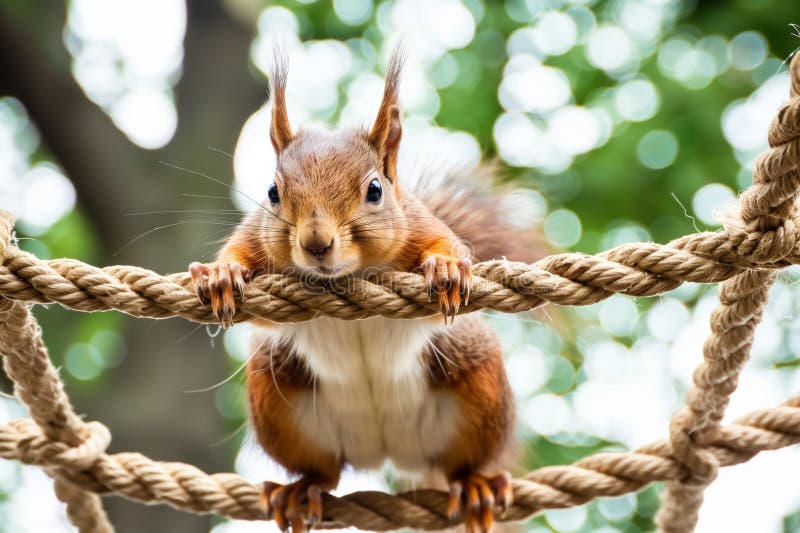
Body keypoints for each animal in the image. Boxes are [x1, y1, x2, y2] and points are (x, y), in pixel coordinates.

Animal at [188, 47, 542, 533]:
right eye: (273, 192)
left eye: (375, 190)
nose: (316, 243)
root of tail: (384, 451)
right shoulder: (256, 237)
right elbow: (243, 266)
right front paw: (221, 275)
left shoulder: (420, 223)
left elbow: (446, 250)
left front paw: (447, 268)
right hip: (278, 399)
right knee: (324, 472)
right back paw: (300, 491)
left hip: (478, 384)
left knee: (462, 462)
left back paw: (474, 485)